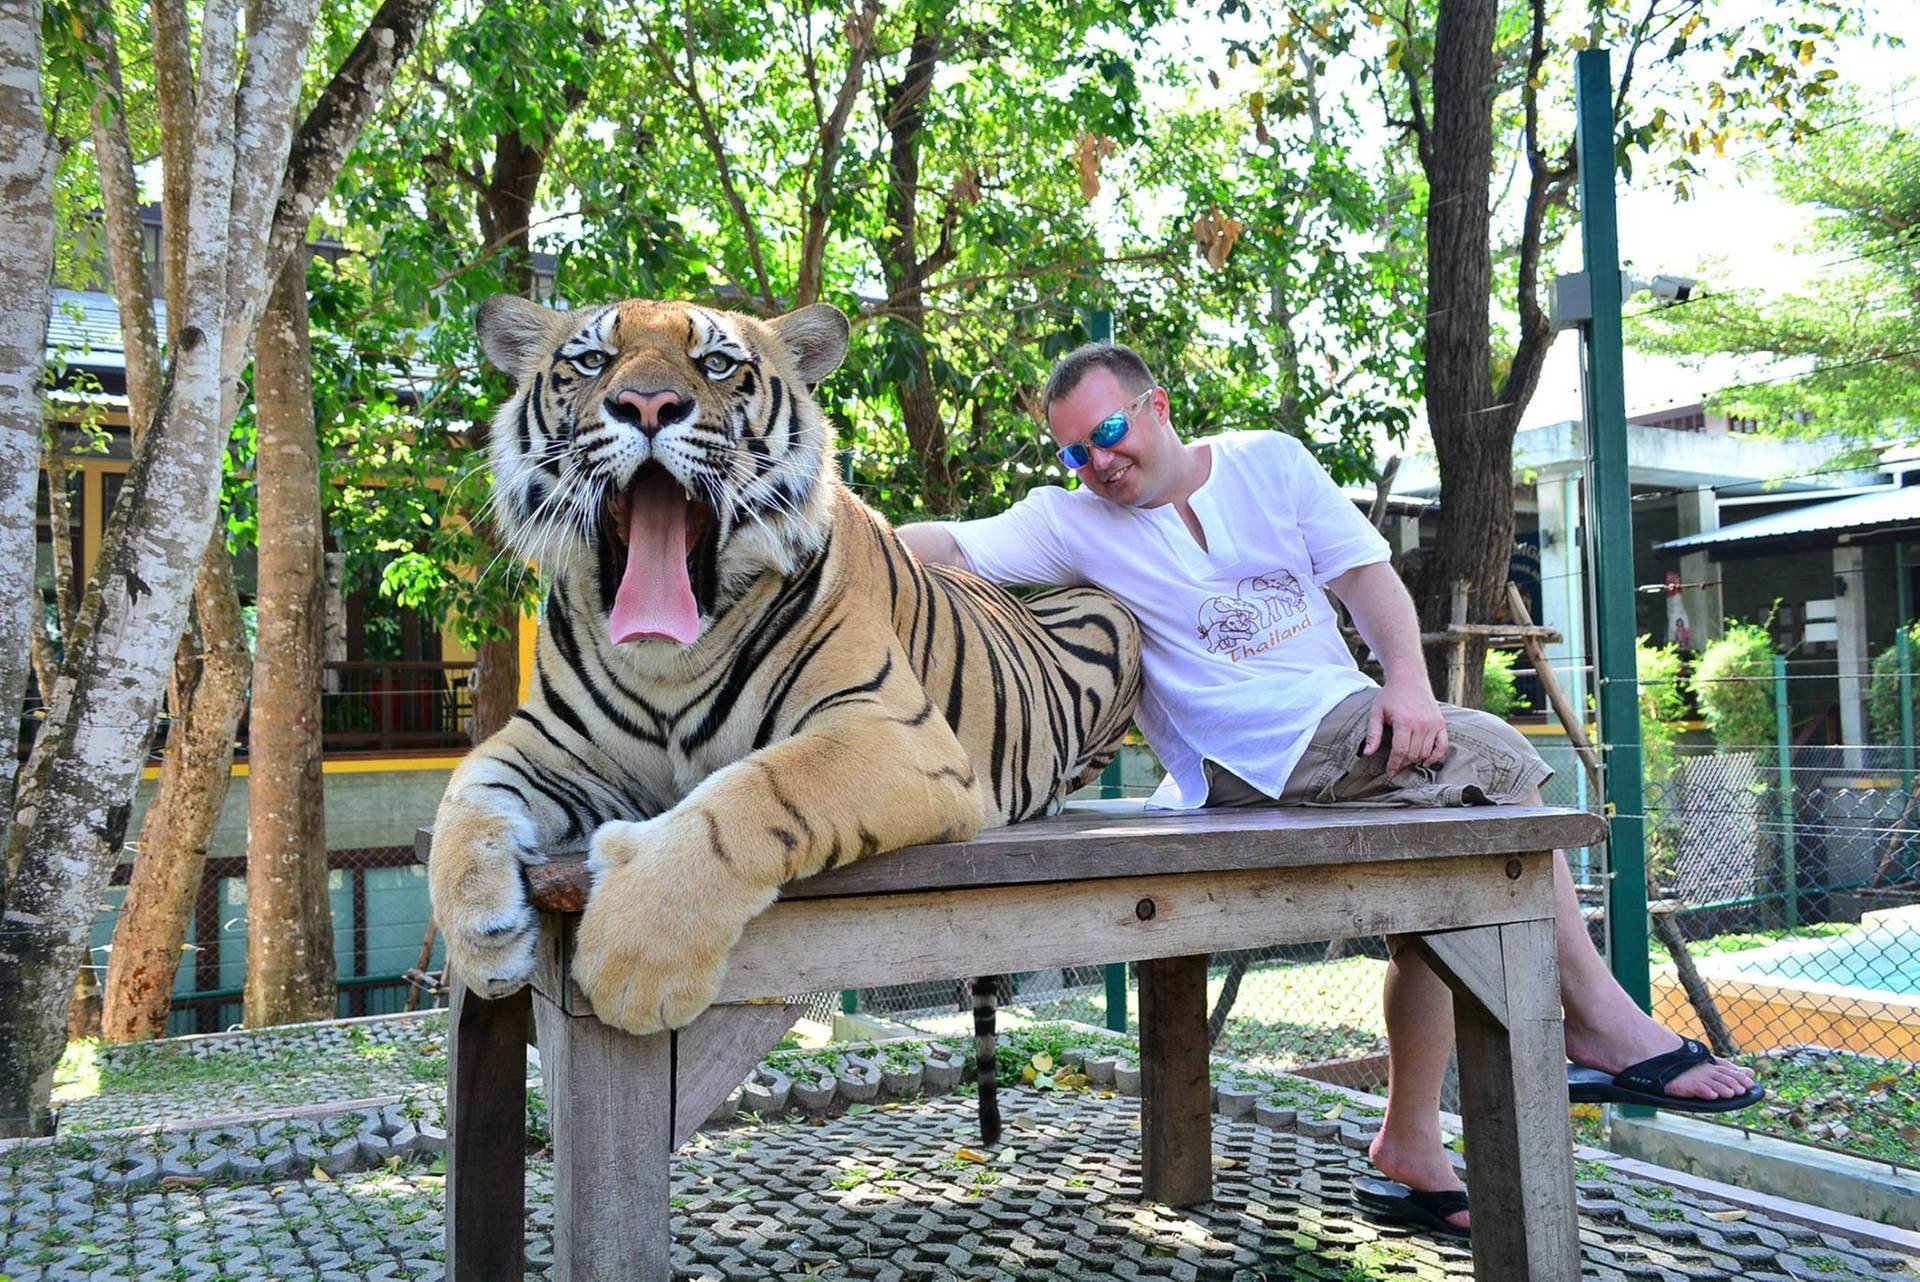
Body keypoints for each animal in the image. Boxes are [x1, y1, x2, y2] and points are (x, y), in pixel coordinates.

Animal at [427, 294, 1143, 1143]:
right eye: (592, 361)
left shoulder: (888, 730)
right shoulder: (554, 746)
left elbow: (753, 795)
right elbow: (466, 797)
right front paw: (481, 933)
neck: (668, 660)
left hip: (1110, 616)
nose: (646, 406)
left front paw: (637, 960)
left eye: (715, 364)